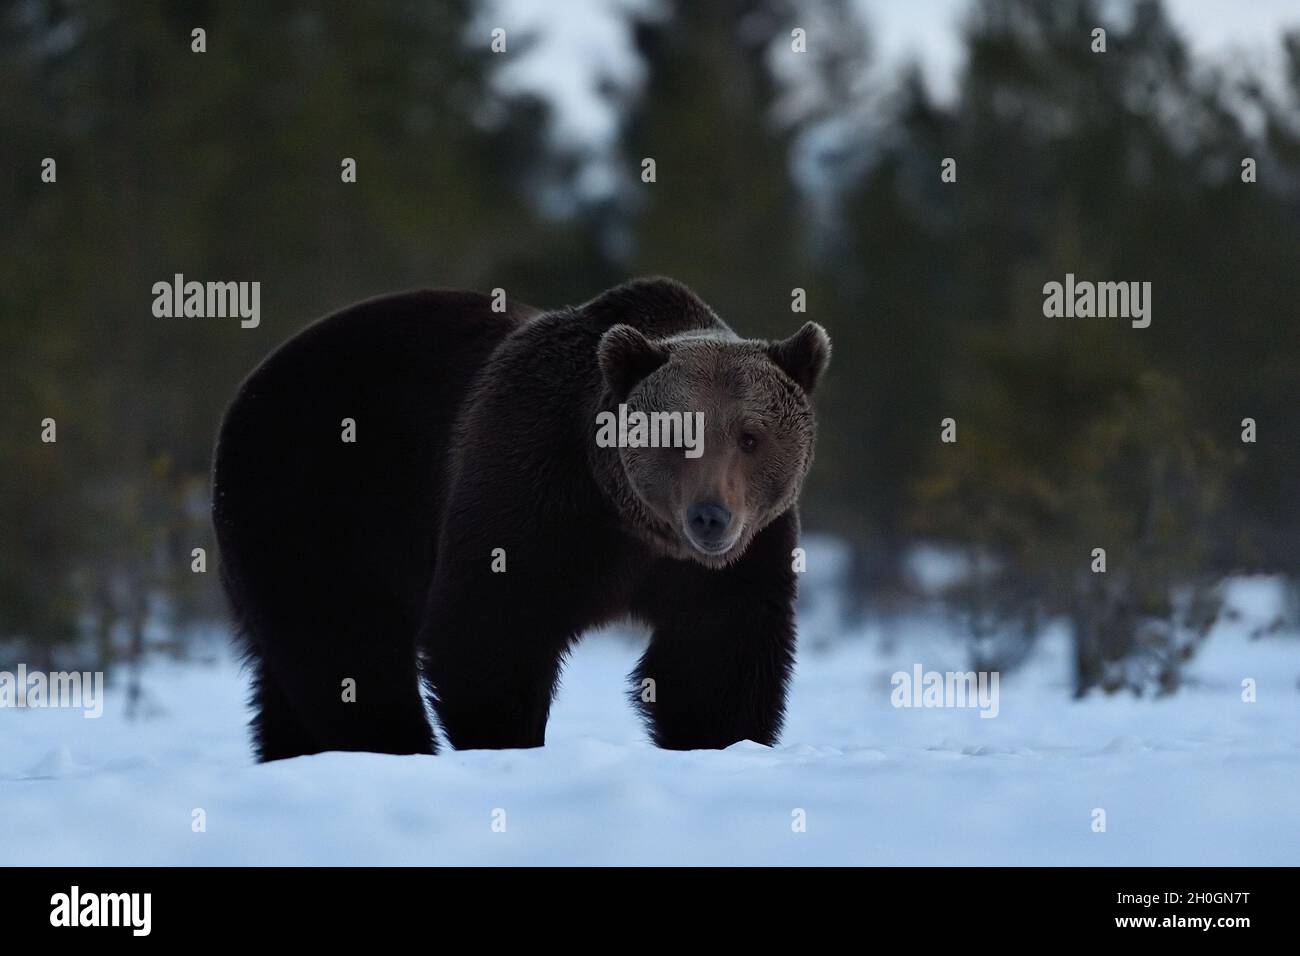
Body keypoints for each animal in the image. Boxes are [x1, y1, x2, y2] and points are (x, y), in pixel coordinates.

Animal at [211, 277, 830, 760]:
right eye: (676, 435)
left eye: (750, 437)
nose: (710, 517)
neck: (632, 525)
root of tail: (251, 381)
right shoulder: (531, 484)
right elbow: (489, 627)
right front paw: (506, 738)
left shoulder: (744, 554)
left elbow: (718, 660)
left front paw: (720, 742)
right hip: (315, 499)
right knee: (344, 643)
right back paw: (394, 743)